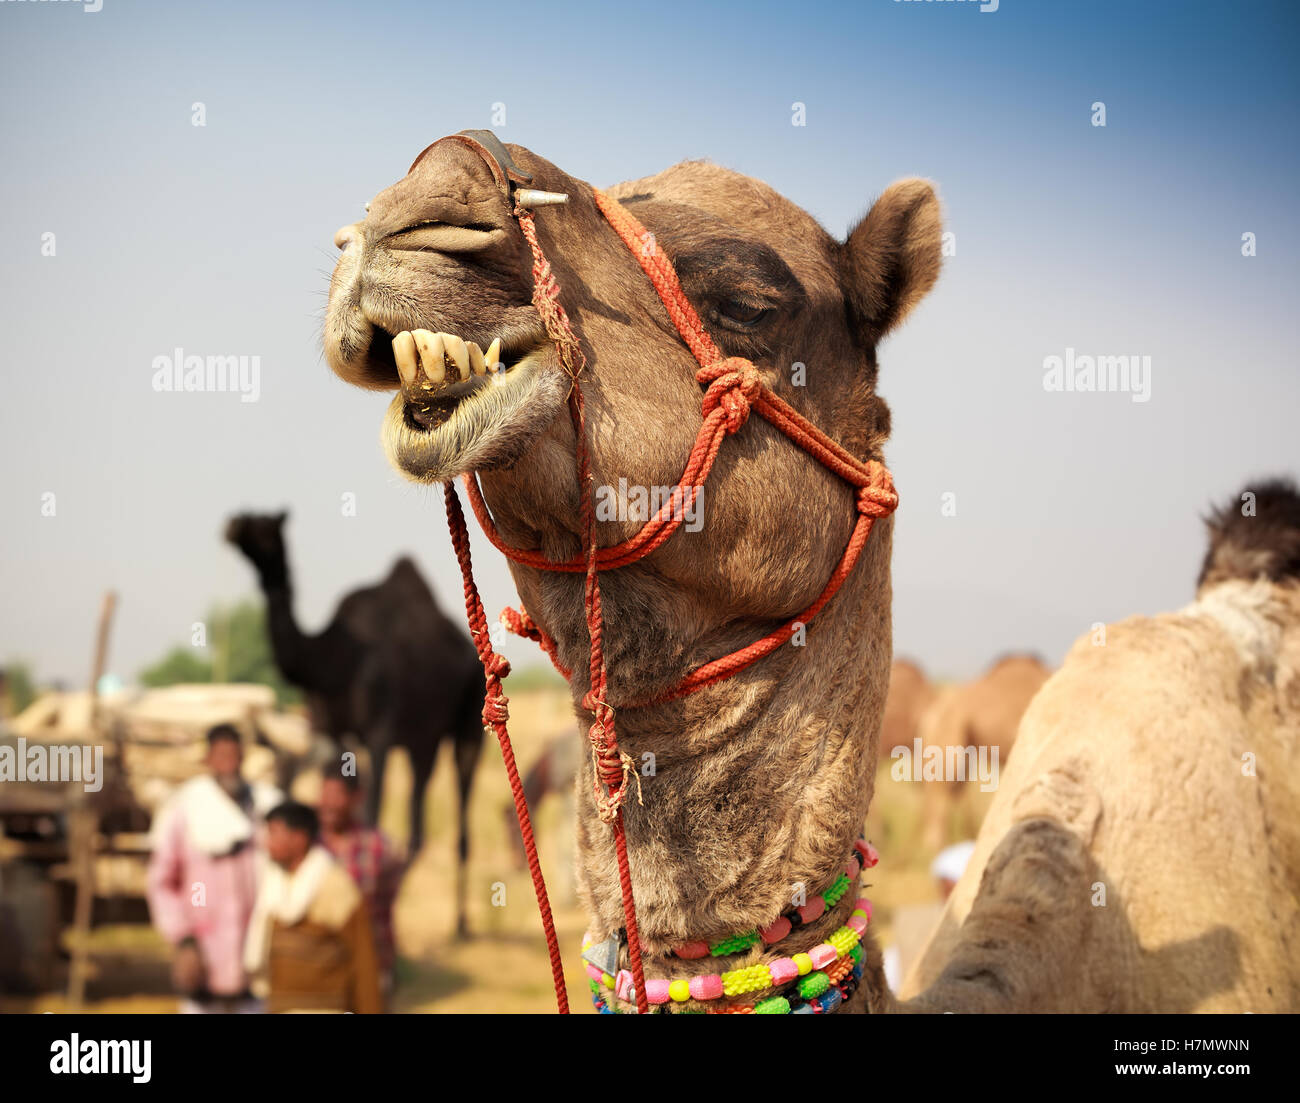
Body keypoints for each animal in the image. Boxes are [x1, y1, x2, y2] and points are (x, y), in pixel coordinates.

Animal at [225, 512, 484, 936]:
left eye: (265, 526)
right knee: (418, 823)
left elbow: (374, 812)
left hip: (470, 718)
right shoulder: (329, 729)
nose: (233, 525)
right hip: (422, 741)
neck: (334, 659)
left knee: (461, 809)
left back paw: (460, 925)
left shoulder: (379, 730)